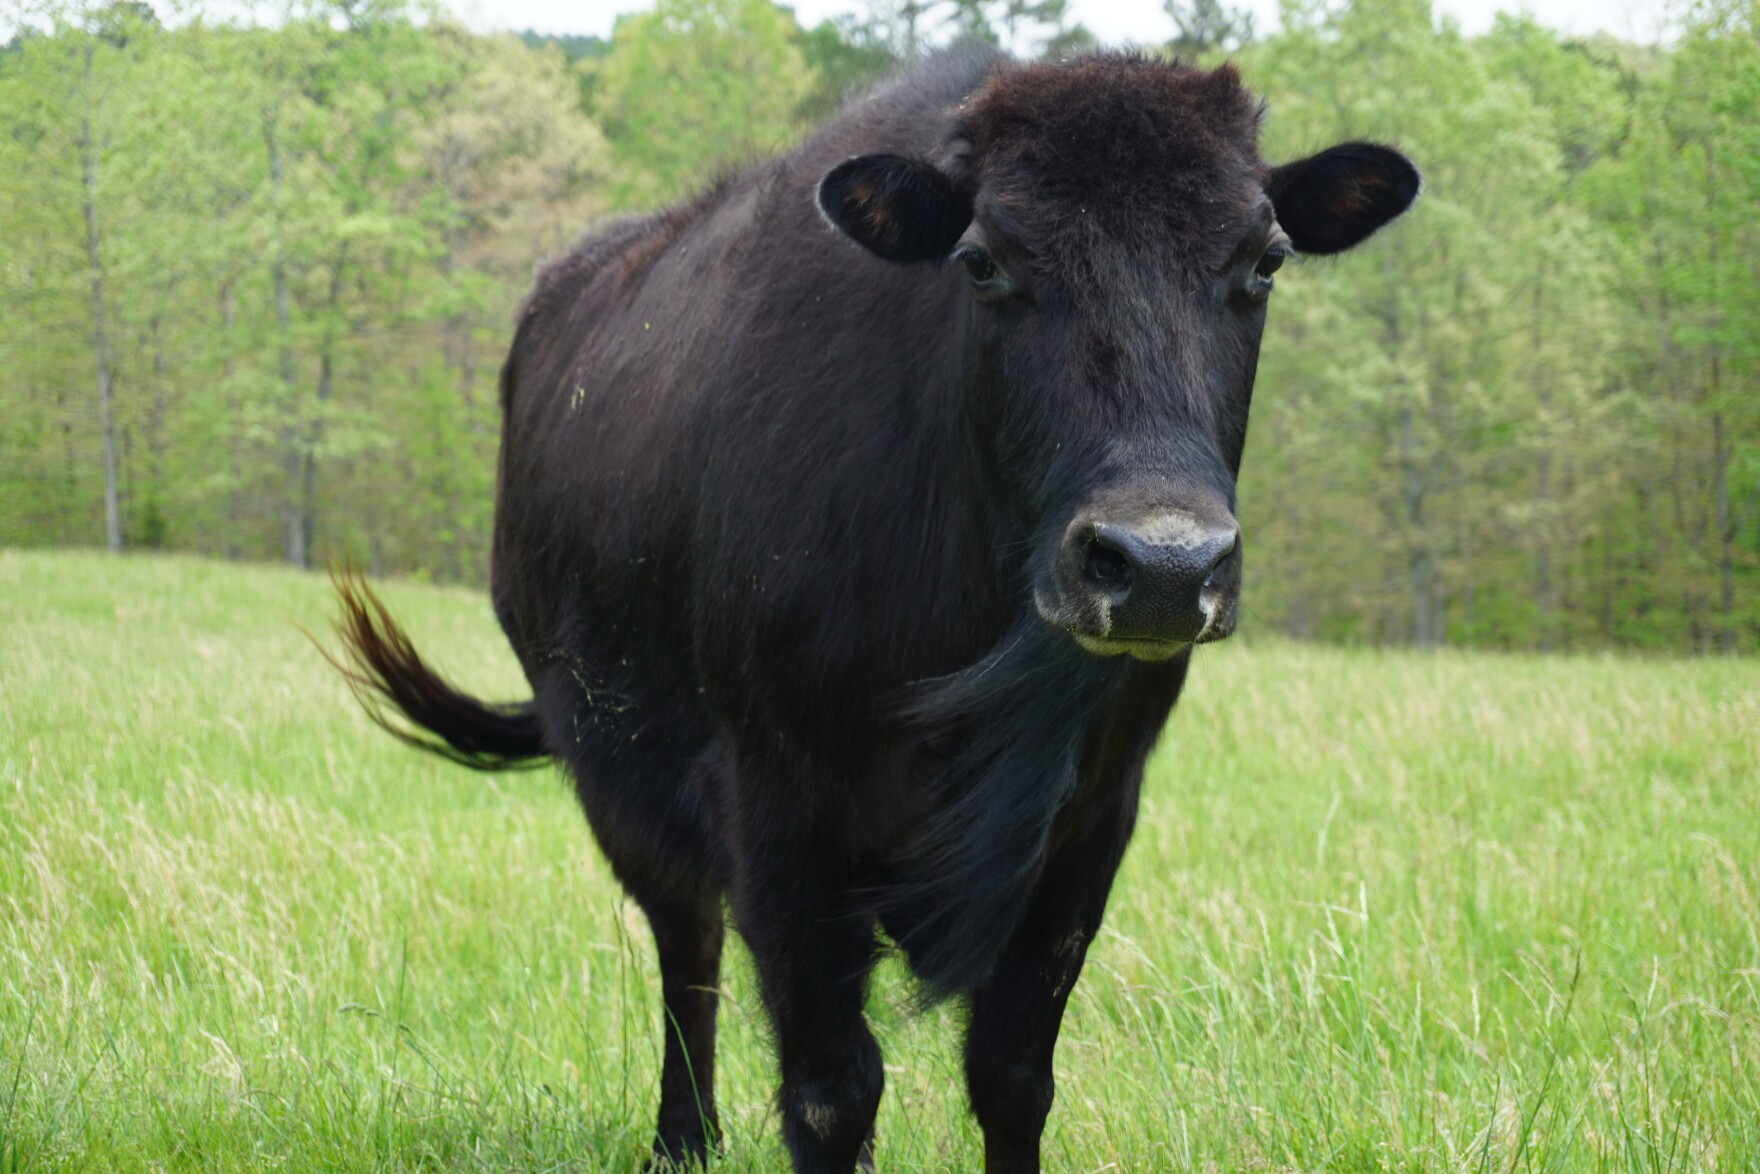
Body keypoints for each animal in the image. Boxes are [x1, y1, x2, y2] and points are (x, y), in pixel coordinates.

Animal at [329, 44, 1418, 1174]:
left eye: (1266, 261)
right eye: (982, 262)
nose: (1162, 564)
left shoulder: (1089, 824)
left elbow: (1013, 1074)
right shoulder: (777, 810)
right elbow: (828, 1090)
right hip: (612, 761)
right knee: (685, 942)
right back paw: (685, 1136)